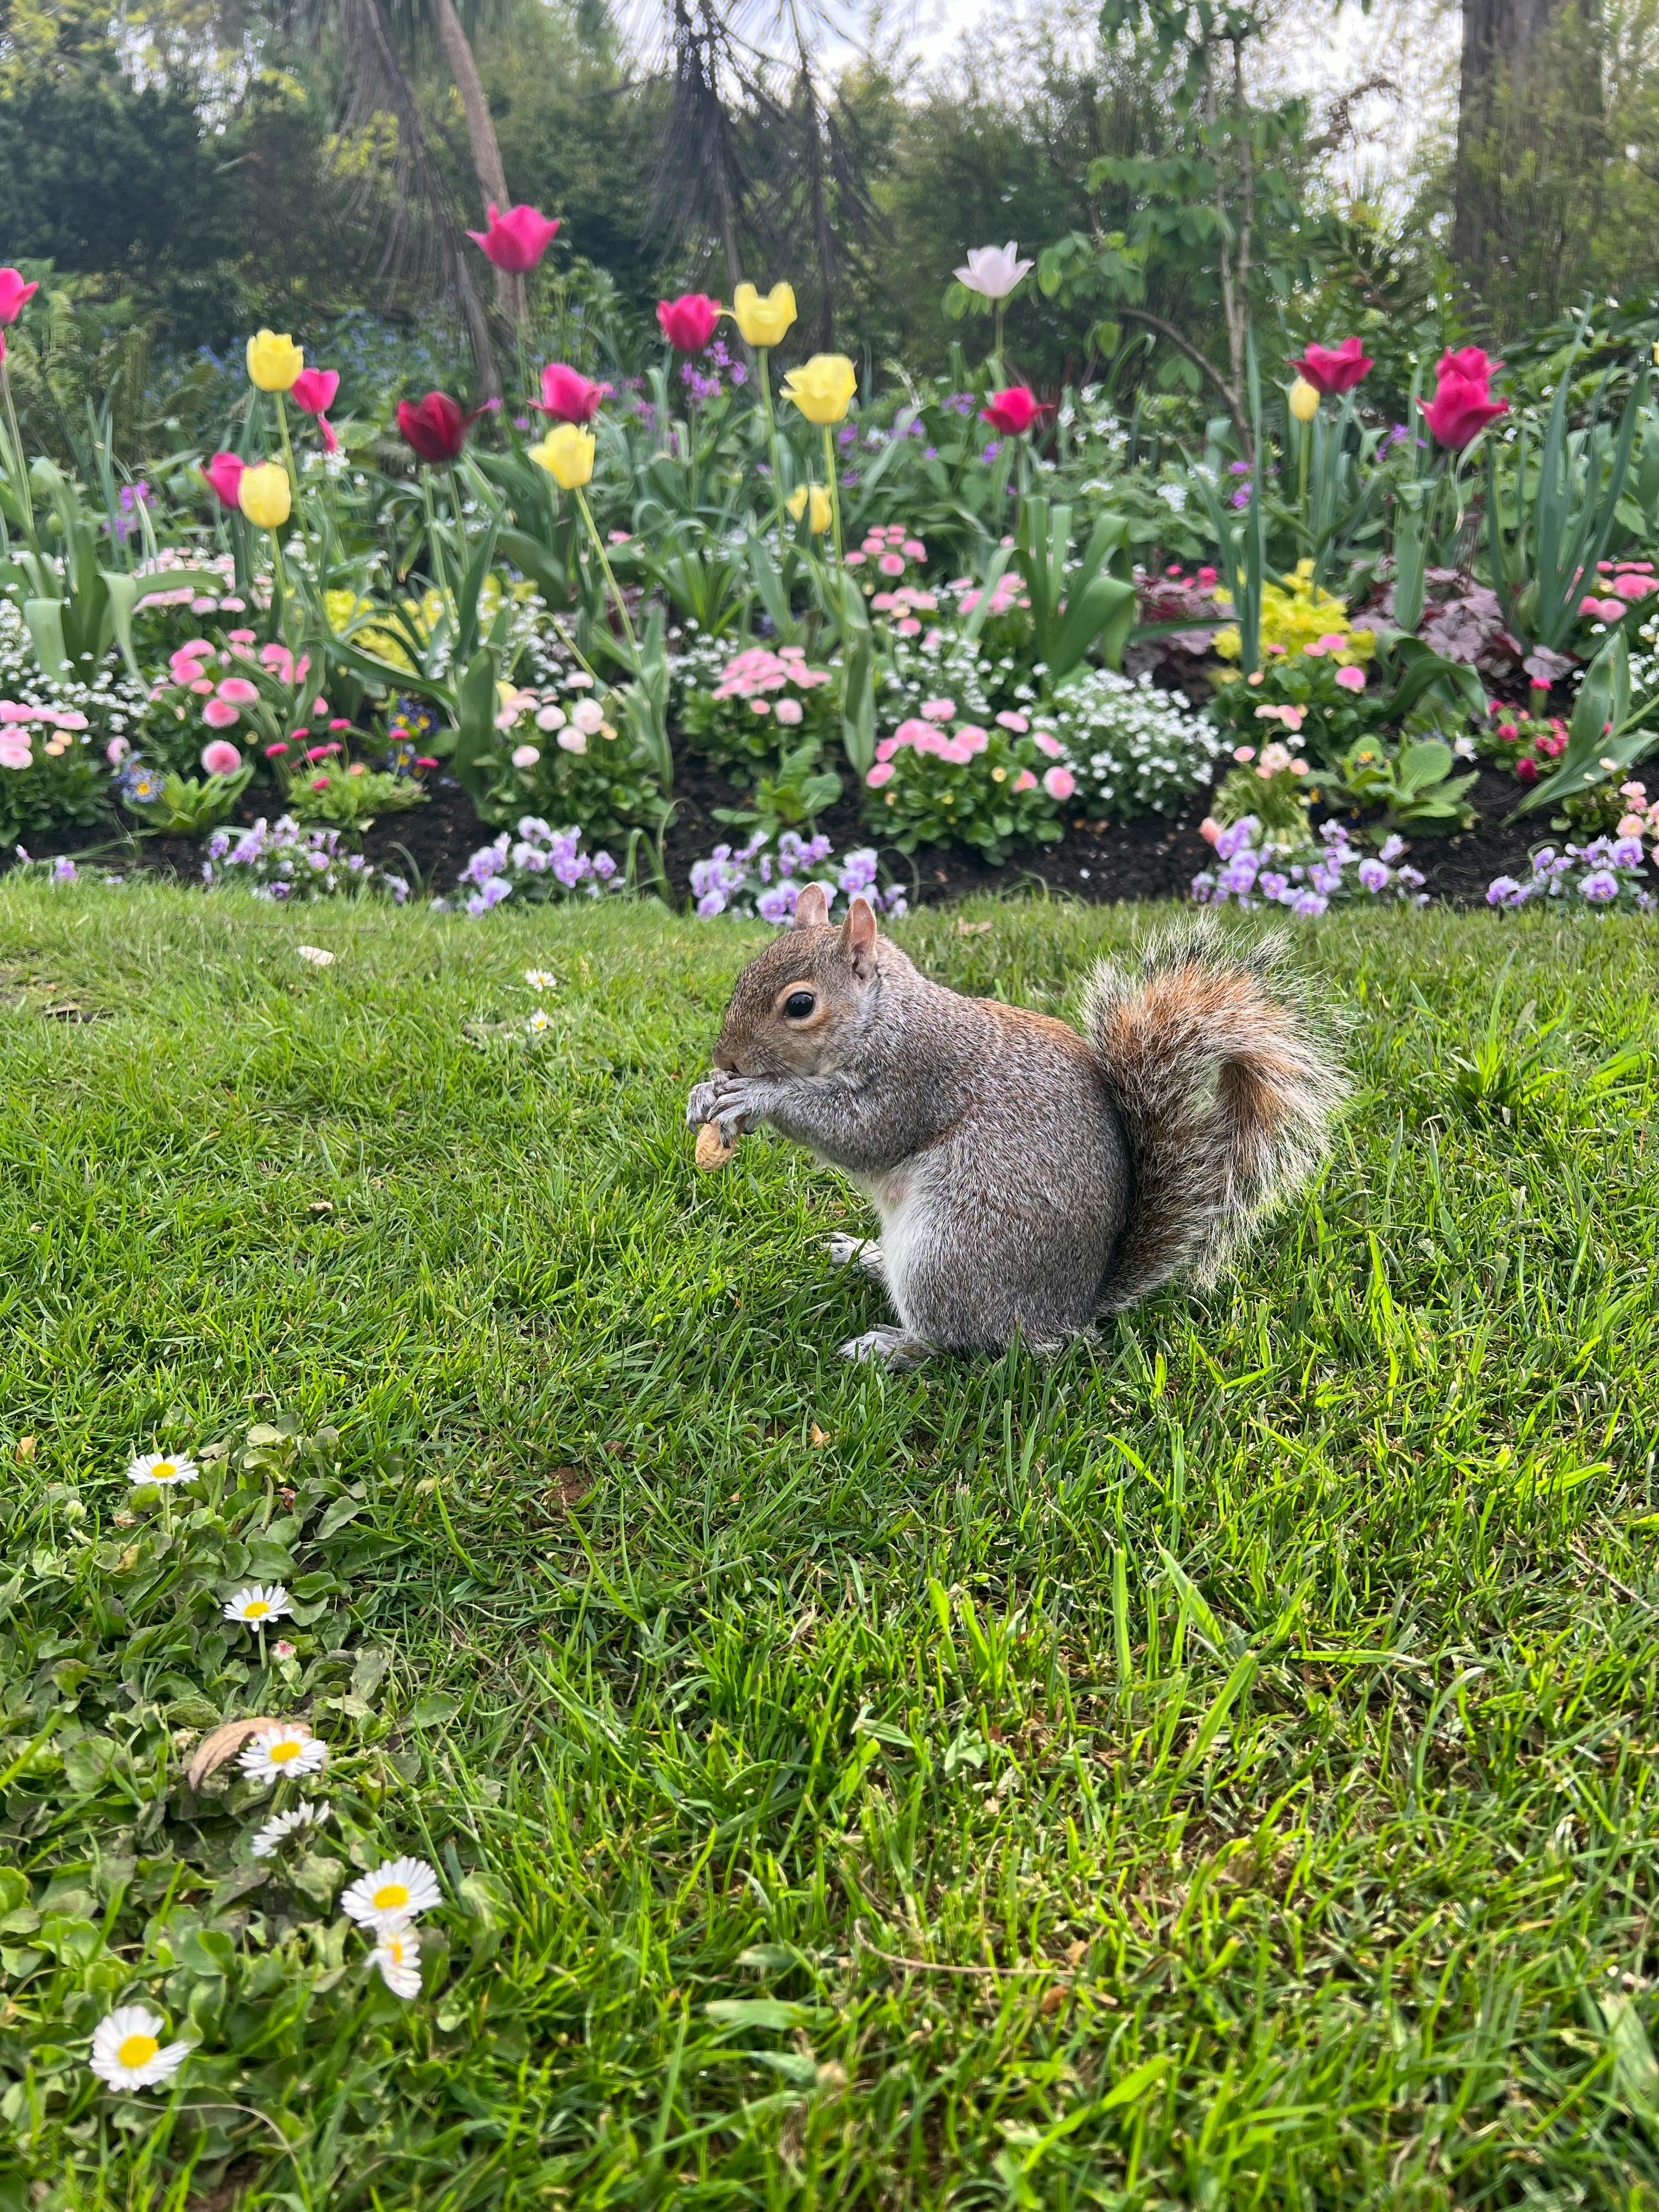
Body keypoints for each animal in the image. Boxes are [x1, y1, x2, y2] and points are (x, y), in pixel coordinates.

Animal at [687, 886, 1344, 1365]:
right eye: (744, 975)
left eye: (800, 1005)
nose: (726, 1059)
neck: (882, 1016)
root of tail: (1072, 1311)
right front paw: (704, 1093)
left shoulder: (917, 1077)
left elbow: (859, 1132)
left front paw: (758, 1096)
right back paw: (864, 1255)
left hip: (947, 1255)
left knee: (958, 1340)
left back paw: (889, 1347)